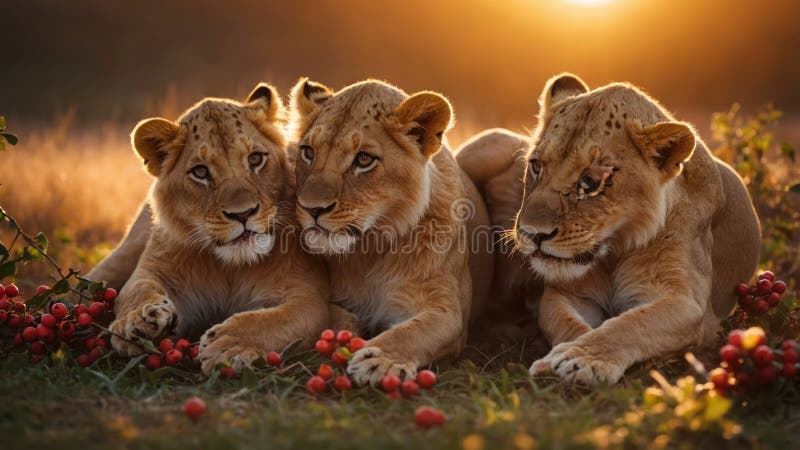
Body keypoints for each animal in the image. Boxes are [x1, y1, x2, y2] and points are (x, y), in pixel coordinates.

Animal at [96, 84, 329, 374]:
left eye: (255, 159)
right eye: (200, 172)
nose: (242, 214)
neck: (230, 267)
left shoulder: (308, 297)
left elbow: (273, 320)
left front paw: (228, 344)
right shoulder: (156, 268)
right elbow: (135, 288)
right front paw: (136, 320)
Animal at [289, 78, 493, 385]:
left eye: (364, 159)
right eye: (308, 152)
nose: (311, 208)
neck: (369, 250)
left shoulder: (447, 311)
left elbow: (413, 332)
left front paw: (379, 360)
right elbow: (333, 313)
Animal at [457, 73, 761, 384]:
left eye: (591, 181)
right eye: (537, 166)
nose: (533, 234)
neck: (615, 249)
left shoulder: (689, 304)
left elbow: (631, 324)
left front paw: (579, 358)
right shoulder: (567, 294)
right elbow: (570, 325)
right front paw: (564, 356)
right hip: (490, 140)